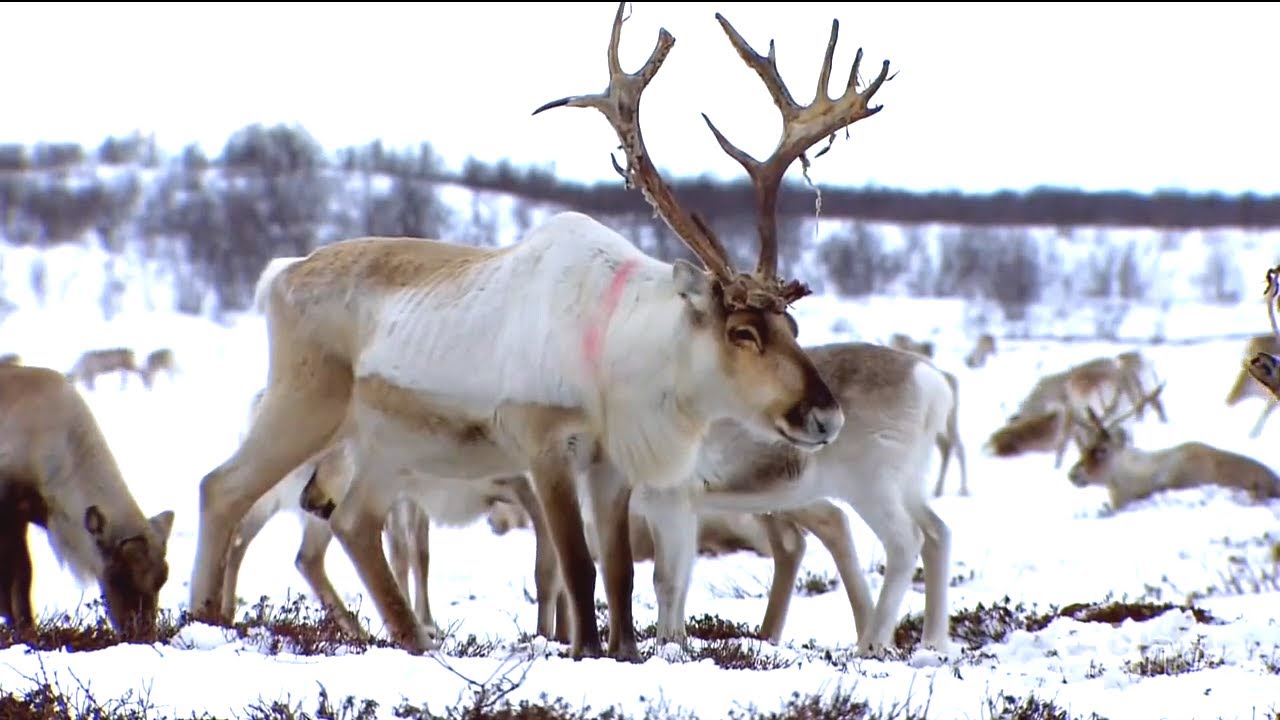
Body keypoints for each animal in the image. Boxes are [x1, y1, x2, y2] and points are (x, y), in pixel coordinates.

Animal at [0, 364, 175, 641]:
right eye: (119, 575)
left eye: (163, 578)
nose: (142, 635)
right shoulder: (8, 511)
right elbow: (16, 579)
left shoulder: (22, 515)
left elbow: (23, 578)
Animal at [188, 1, 887, 662]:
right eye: (743, 331)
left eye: (790, 322)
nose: (825, 414)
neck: (621, 357)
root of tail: (280, 273)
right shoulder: (544, 445)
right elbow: (576, 564)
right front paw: (582, 649)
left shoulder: (611, 463)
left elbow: (619, 572)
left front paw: (625, 651)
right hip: (305, 403)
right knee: (222, 486)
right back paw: (203, 620)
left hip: (387, 445)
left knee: (355, 521)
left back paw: (410, 637)